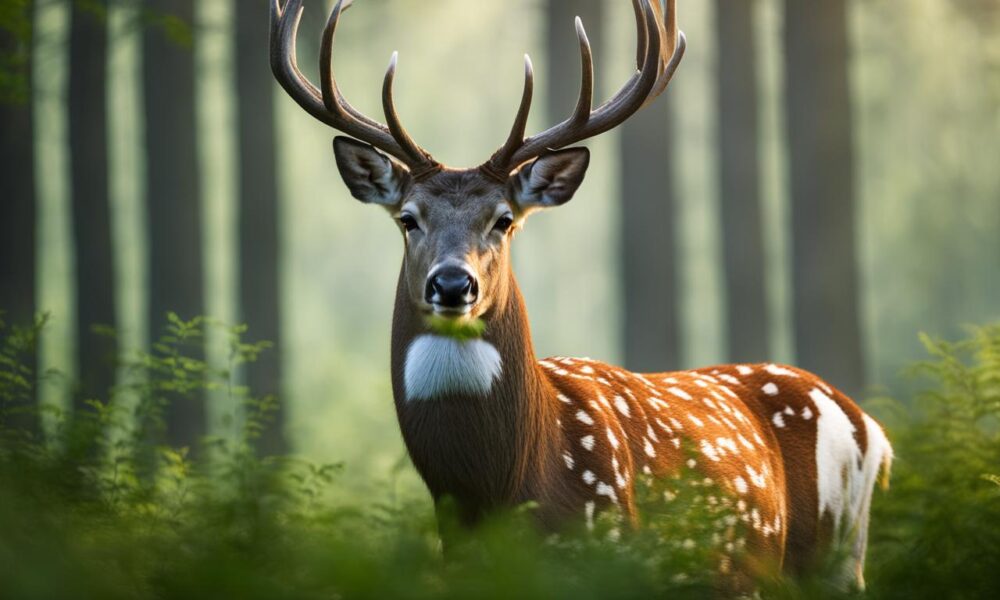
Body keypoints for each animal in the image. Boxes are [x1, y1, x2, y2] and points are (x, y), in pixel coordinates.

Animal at [270, 0, 893, 589]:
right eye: (407, 218)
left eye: (504, 220)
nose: (451, 283)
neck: (509, 487)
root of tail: (870, 426)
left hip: (839, 553)